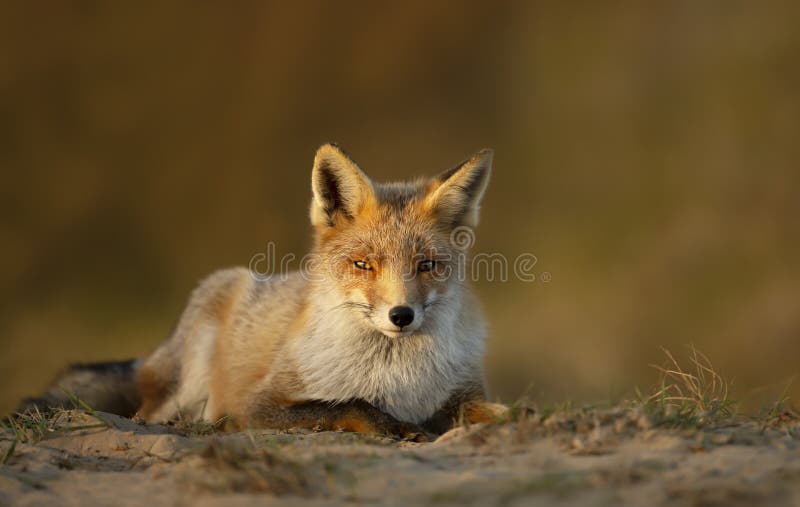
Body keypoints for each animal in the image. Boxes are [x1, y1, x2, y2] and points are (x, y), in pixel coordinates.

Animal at [21, 143, 508, 438]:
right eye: (363, 265)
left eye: (426, 265)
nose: (401, 315)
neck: (397, 375)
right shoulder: (262, 403)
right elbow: (348, 405)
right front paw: (398, 426)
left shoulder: (465, 393)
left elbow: (492, 411)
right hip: (198, 350)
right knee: (153, 416)